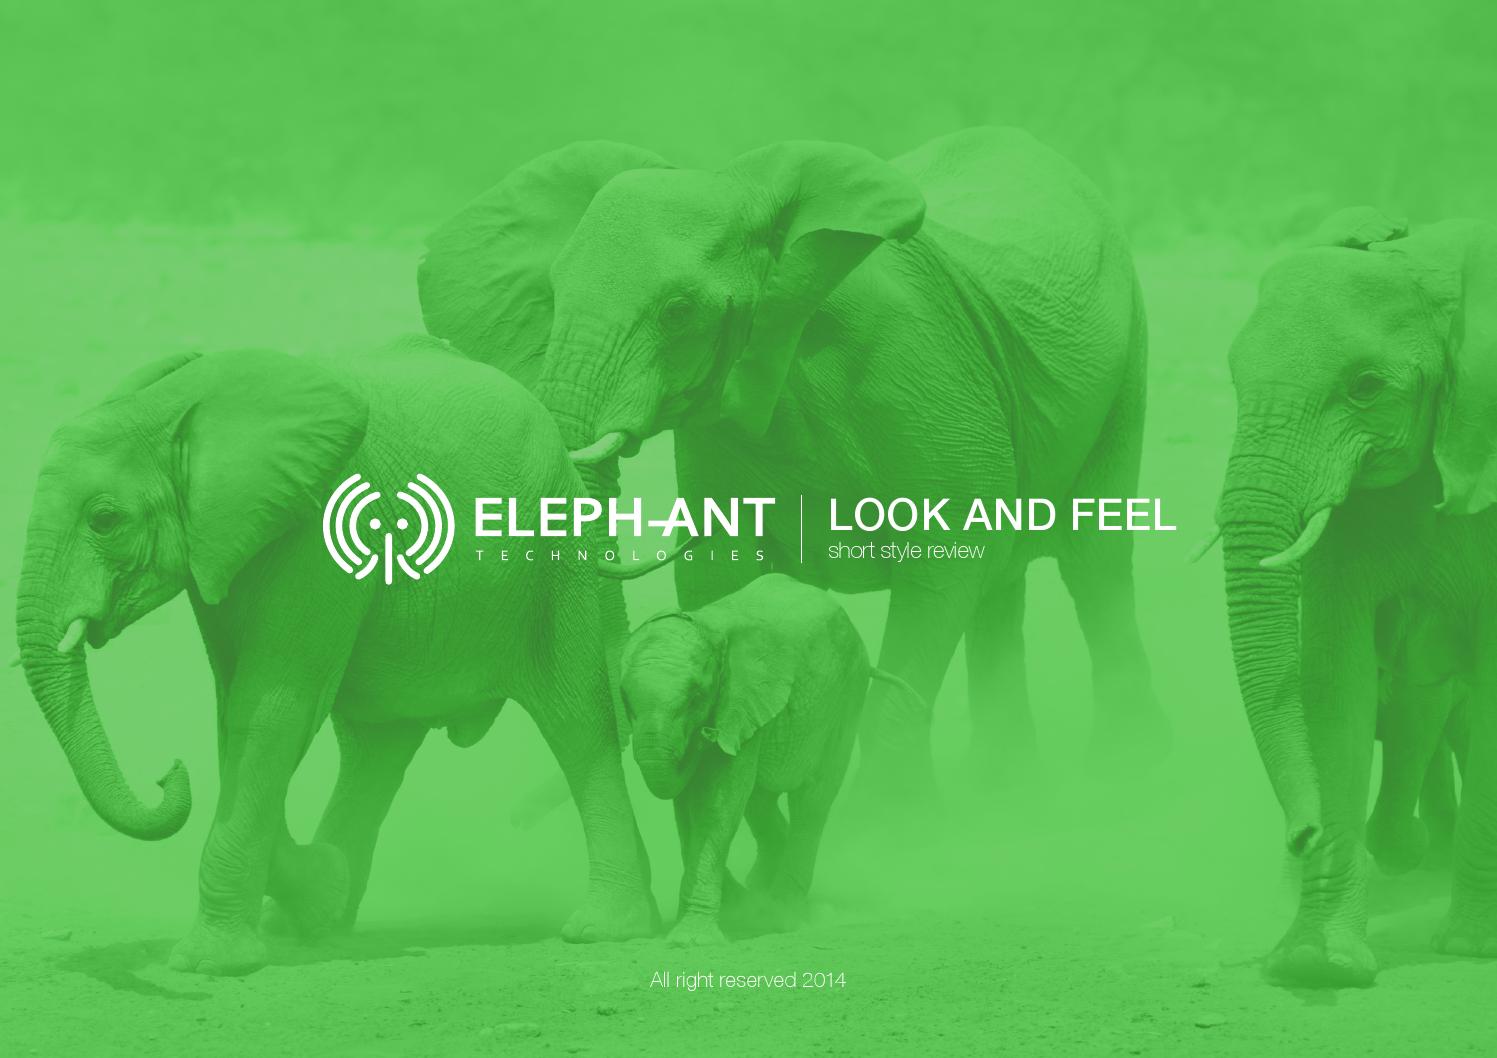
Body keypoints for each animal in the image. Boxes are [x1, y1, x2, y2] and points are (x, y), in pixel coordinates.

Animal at [15, 337, 654, 975]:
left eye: (105, 519)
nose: (166, 771)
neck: (173, 408)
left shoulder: (321, 532)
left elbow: (269, 711)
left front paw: (210, 963)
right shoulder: (223, 549)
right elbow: (235, 715)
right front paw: (322, 886)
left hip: (553, 563)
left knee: (576, 723)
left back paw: (603, 929)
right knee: (377, 752)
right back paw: (320, 916)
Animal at [418, 127, 1166, 799]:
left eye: (677, 311)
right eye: (551, 294)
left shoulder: (930, 383)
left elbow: (946, 567)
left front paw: (888, 827)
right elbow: (719, 577)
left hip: (1127, 363)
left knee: (1093, 564)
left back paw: (1121, 781)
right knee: (1003, 588)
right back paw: (1006, 790)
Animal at [621, 573, 914, 945]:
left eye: (695, 696)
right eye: (625, 700)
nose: (705, 735)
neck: (709, 628)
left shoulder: (743, 702)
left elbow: (718, 804)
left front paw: (691, 939)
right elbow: (691, 806)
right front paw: (729, 911)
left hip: (846, 696)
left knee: (812, 801)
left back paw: (782, 914)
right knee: (761, 800)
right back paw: (762, 895)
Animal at [1210, 206, 1497, 986]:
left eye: (1365, 386)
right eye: (1235, 380)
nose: (1301, 833)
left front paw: (1471, 948)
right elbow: (1334, 684)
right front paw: (1318, 964)